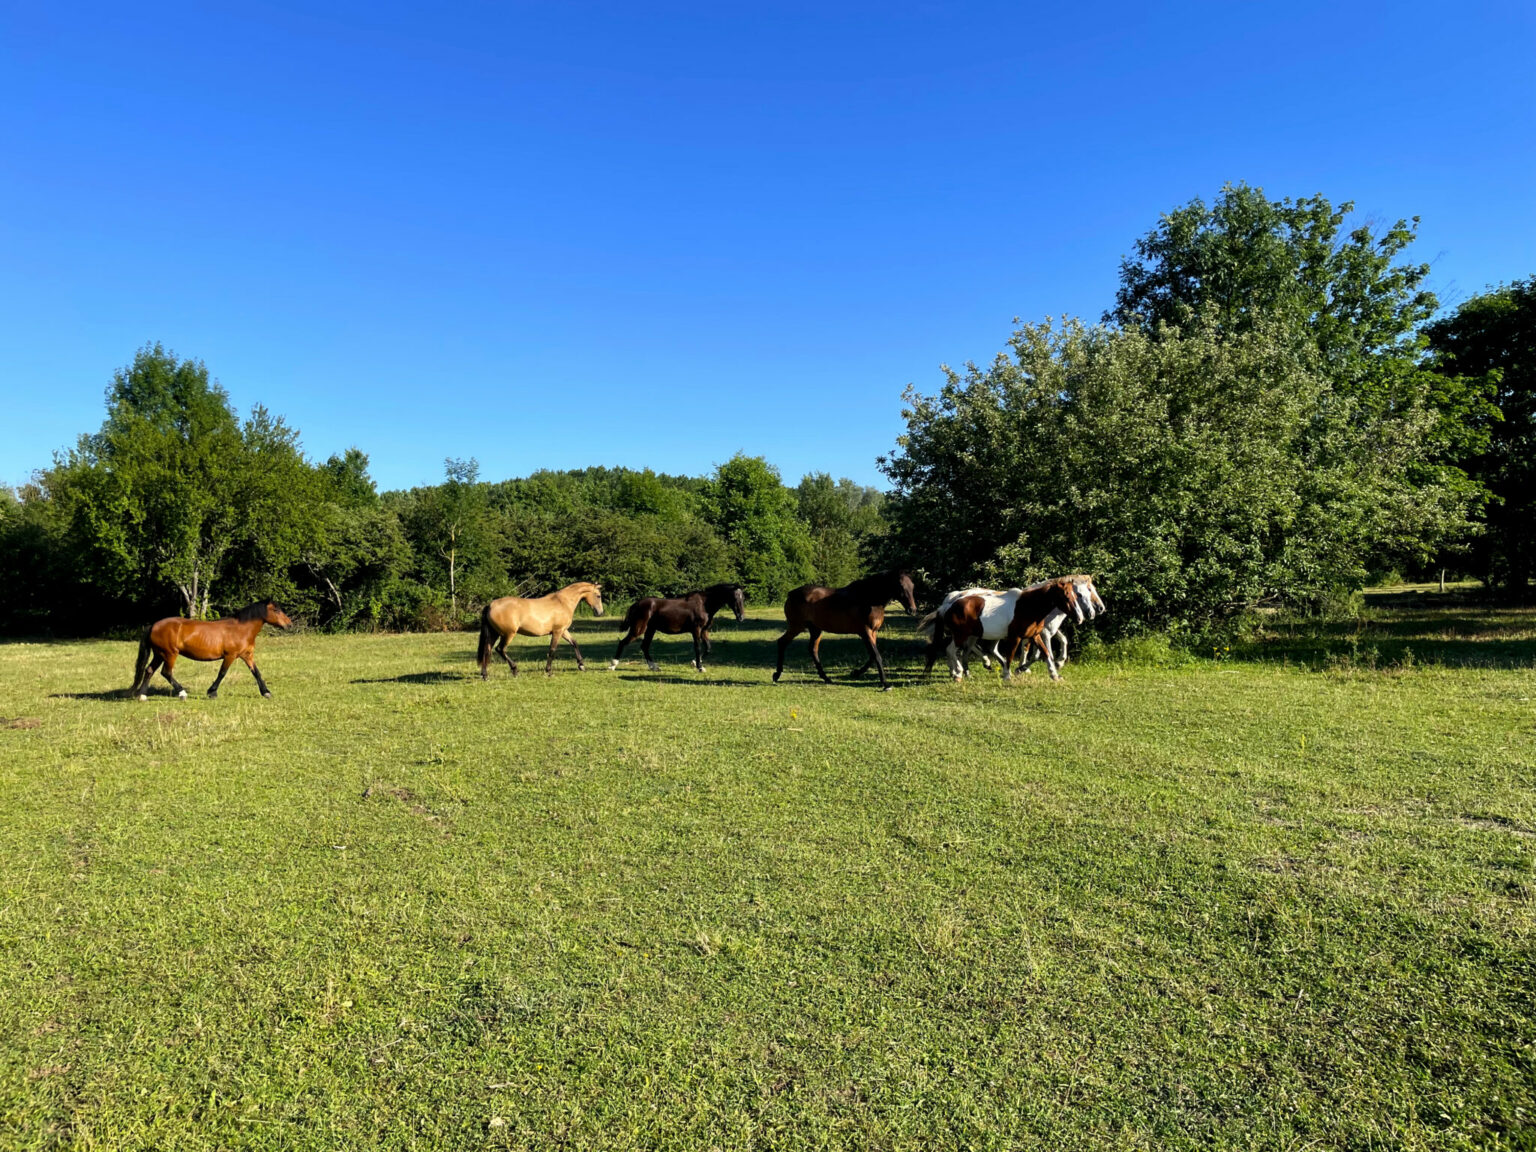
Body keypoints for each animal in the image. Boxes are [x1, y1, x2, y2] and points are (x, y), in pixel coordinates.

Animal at [131, 599, 292, 700]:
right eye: (276, 610)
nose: (289, 624)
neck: (241, 629)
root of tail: (154, 625)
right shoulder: (230, 656)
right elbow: (222, 673)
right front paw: (212, 692)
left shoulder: (247, 655)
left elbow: (256, 673)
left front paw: (266, 692)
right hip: (170, 654)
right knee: (166, 672)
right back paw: (182, 693)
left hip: (159, 654)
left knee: (149, 670)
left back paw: (142, 696)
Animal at [610, 583, 746, 672]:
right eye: (734, 597)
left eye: (743, 598)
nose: (741, 617)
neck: (704, 605)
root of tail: (637, 604)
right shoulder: (696, 630)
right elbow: (697, 647)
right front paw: (700, 667)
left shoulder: (704, 631)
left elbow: (708, 647)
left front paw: (695, 663)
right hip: (638, 629)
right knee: (623, 642)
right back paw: (612, 665)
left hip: (650, 630)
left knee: (644, 646)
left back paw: (654, 667)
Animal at [773, 570, 917, 692]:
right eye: (901, 587)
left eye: (913, 586)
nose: (912, 610)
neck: (869, 598)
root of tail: (792, 594)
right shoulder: (865, 632)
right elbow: (876, 655)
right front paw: (885, 684)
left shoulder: (873, 632)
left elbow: (872, 656)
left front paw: (855, 672)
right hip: (796, 626)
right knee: (782, 642)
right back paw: (777, 674)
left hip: (815, 630)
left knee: (812, 649)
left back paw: (826, 678)